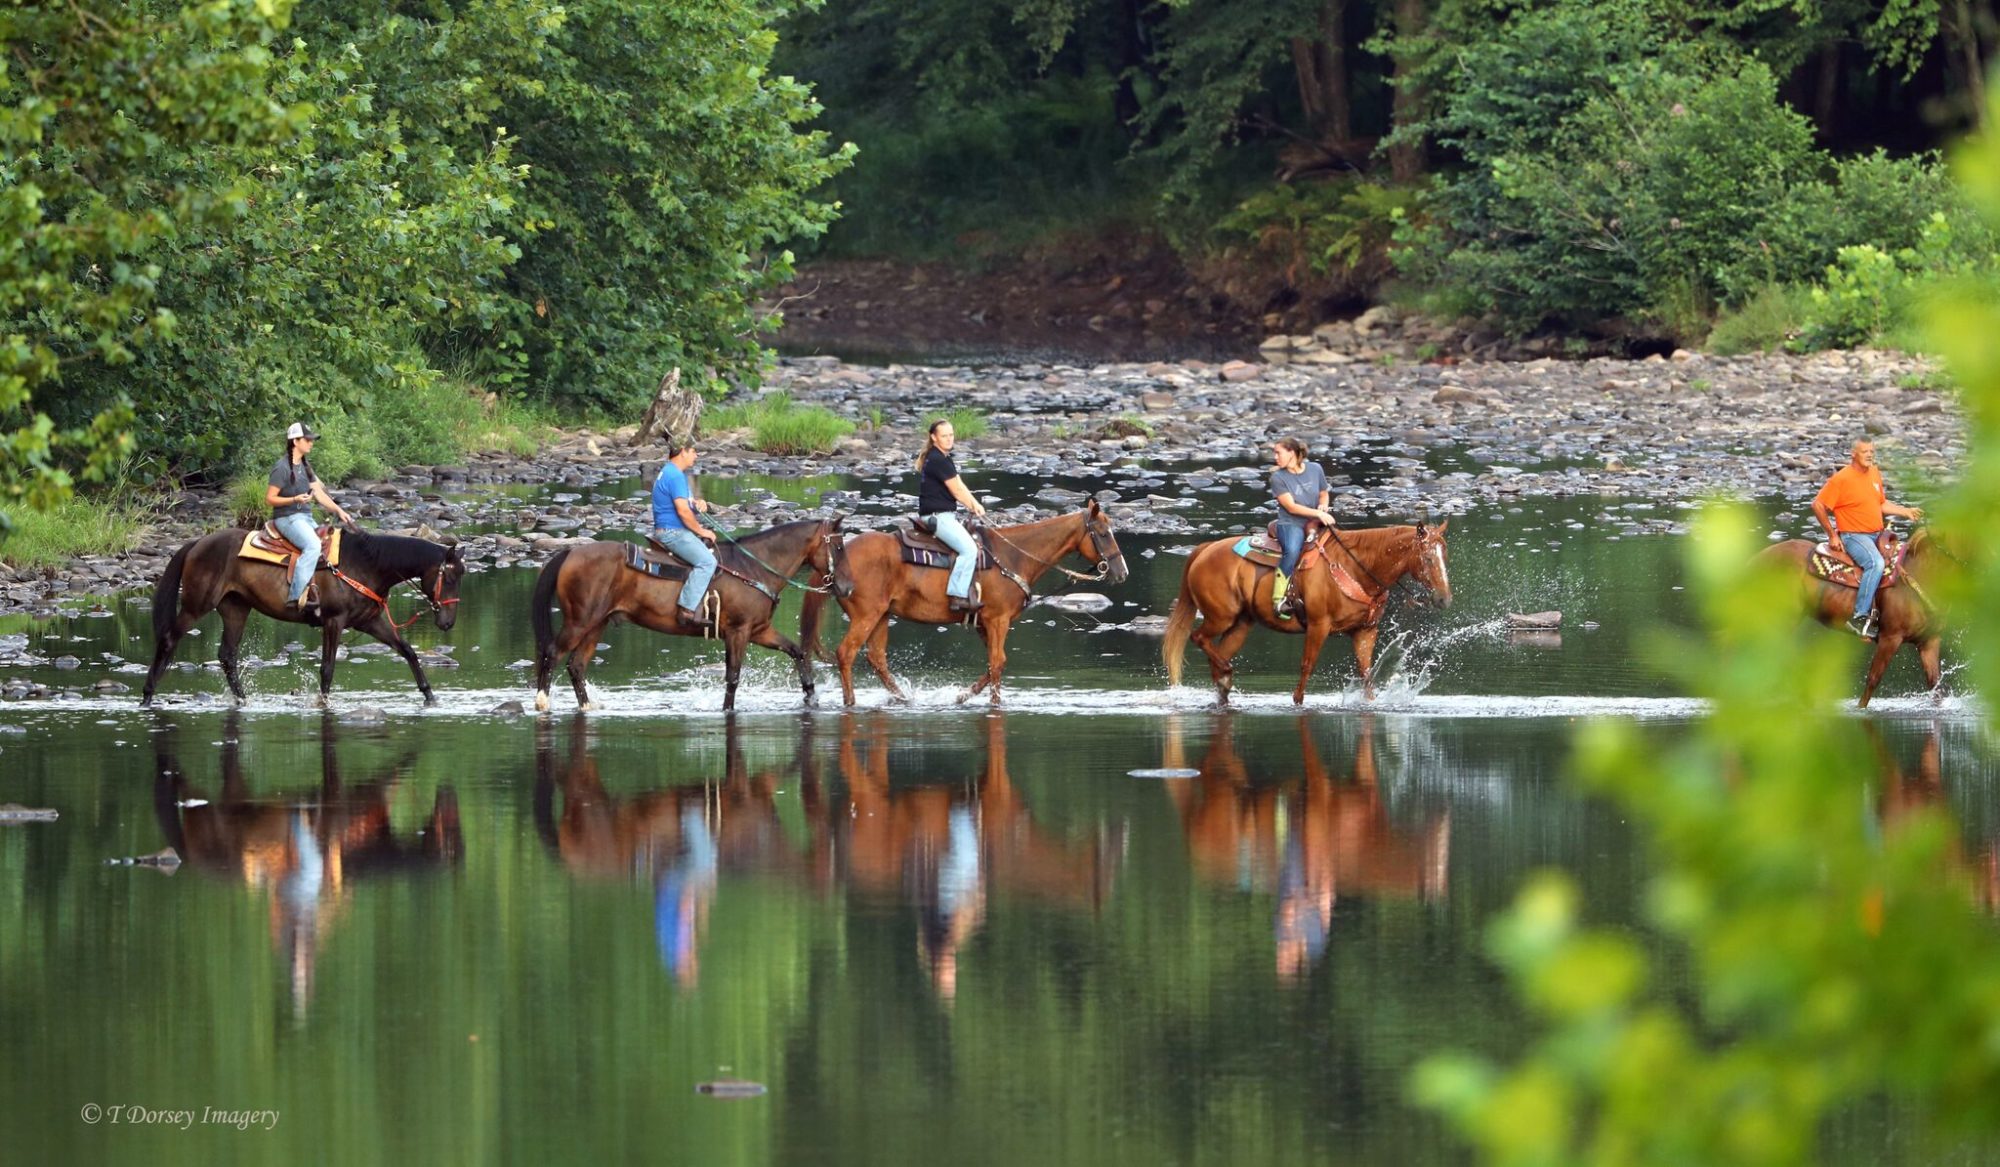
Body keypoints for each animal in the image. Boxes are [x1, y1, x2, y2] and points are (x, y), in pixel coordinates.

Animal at [143, 527, 467, 706]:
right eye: (450, 577)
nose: (448, 622)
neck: (367, 565)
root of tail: (196, 544)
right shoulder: (333, 621)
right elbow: (327, 669)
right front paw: (323, 702)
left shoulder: (370, 621)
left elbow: (408, 650)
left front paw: (430, 696)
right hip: (196, 605)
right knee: (169, 640)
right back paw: (147, 696)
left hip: (236, 609)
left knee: (227, 656)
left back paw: (243, 699)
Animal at [530, 515, 844, 713]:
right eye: (839, 546)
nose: (846, 586)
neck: (752, 568)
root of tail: (570, 553)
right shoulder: (738, 632)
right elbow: (733, 676)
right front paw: (727, 710)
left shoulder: (759, 631)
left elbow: (797, 651)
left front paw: (811, 695)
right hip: (580, 621)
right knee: (552, 653)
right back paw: (542, 702)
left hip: (598, 624)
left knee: (576, 666)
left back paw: (588, 706)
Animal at [799, 502, 1129, 706]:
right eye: (1103, 533)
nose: (1121, 571)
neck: (1013, 556)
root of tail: (837, 556)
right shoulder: (998, 620)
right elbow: (998, 662)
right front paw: (993, 703)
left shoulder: (985, 624)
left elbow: (994, 663)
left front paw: (961, 696)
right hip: (866, 616)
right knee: (846, 654)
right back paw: (851, 702)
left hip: (881, 616)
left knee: (877, 658)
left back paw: (905, 699)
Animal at [1162, 521, 1451, 705]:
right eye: (1428, 559)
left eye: (1444, 557)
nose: (1444, 598)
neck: (1355, 568)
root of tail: (1206, 548)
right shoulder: (1318, 626)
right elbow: (1306, 666)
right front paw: (1297, 701)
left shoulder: (1365, 631)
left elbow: (1367, 673)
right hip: (1221, 617)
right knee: (1199, 638)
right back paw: (1226, 672)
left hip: (1241, 624)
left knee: (1217, 654)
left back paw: (1224, 682)